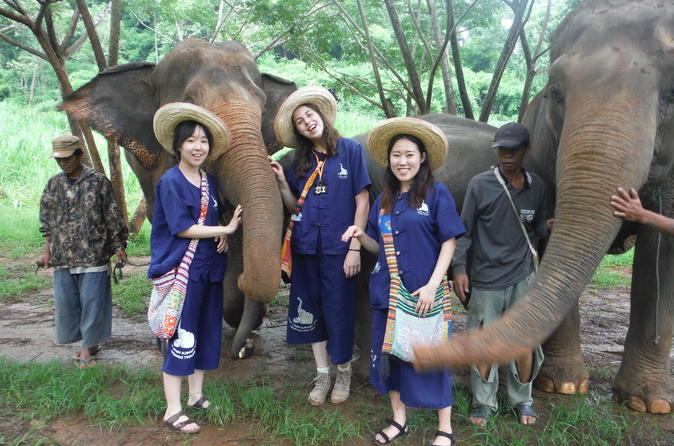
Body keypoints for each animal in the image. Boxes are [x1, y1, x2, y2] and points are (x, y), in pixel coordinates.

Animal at [412, 0, 674, 415]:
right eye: (556, 92)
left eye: (672, 95)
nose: (419, 355)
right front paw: (563, 386)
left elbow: (660, 257)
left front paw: (649, 404)